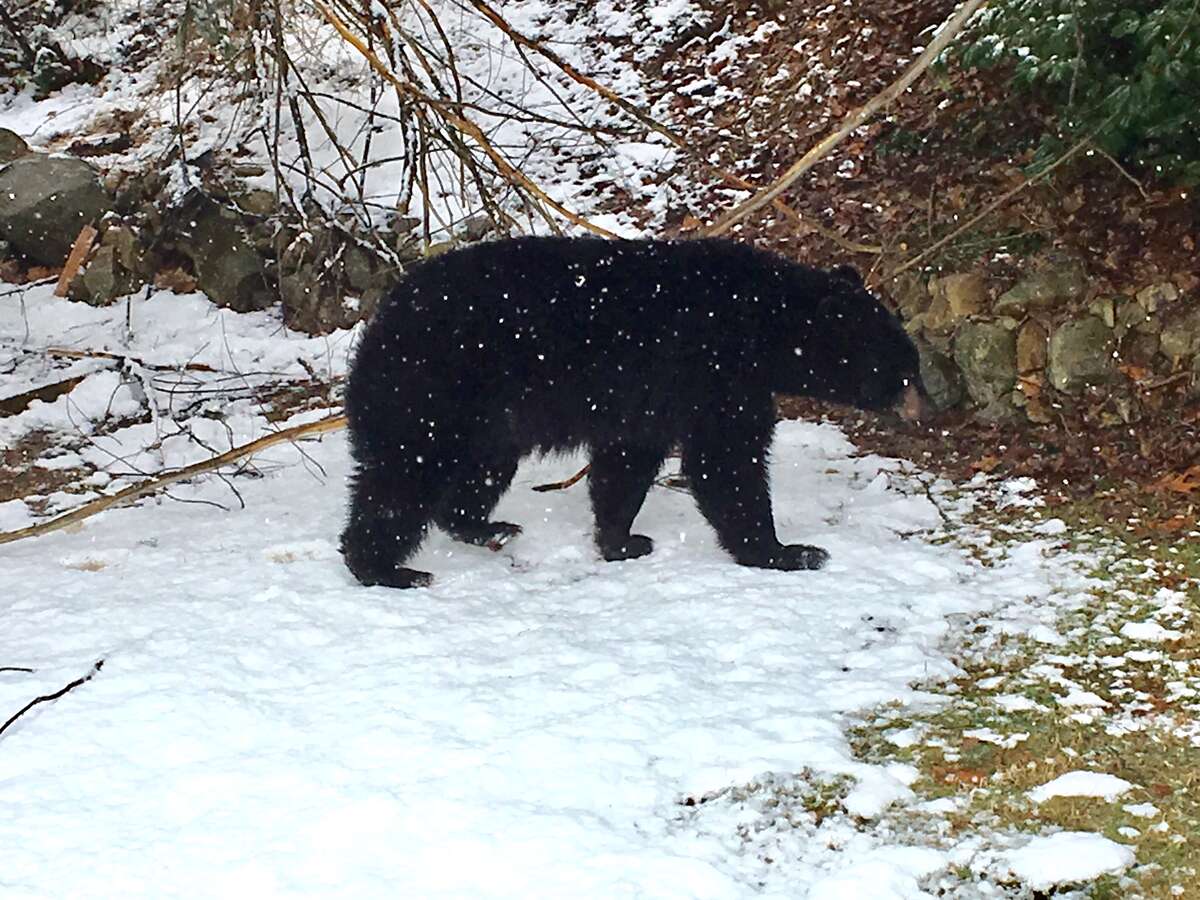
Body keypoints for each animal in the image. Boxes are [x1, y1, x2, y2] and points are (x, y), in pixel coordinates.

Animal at [340, 236, 926, 588]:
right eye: (903, 367)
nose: (925, 407)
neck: (763, 323)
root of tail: (378, 328)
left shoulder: (650, 399)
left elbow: (627, 462)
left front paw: (622, 541)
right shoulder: (711, 372)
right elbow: (726, 461)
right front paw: (788, 551)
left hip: (487, 420)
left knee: (478, 471)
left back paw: (487, 525)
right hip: (431, 395)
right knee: (402, 480)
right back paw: (385, 568)